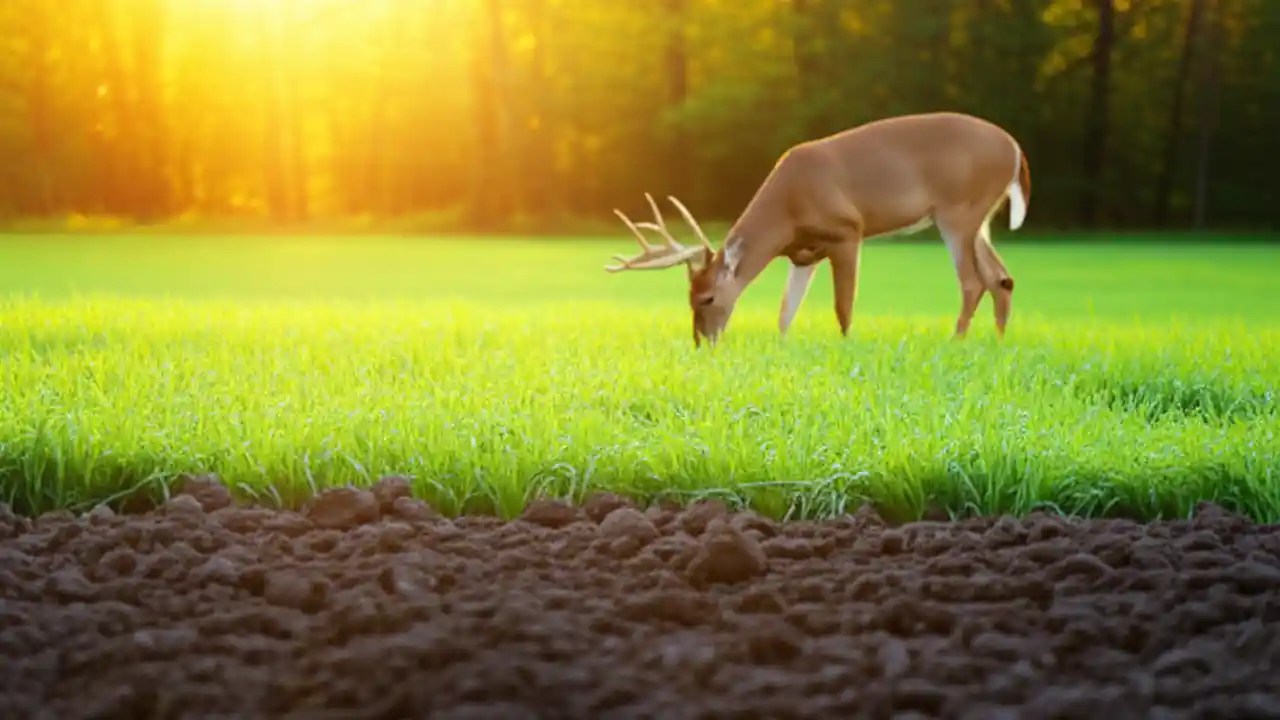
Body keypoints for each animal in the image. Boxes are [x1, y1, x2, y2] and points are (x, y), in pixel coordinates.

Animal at [604, 111, 1031, 347]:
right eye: (688, 298)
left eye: (707, 298)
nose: (702, 342)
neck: (788, 212)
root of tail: (1015, 150)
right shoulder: (803, 254)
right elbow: (785, 311)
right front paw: (782, 348)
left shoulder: (848, 230)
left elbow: (843, 306)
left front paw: (847, 345)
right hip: (979, 217)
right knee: (1002, 278)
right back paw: (996, 342)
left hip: (958, 210)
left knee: (973, 281)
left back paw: (956, 341)